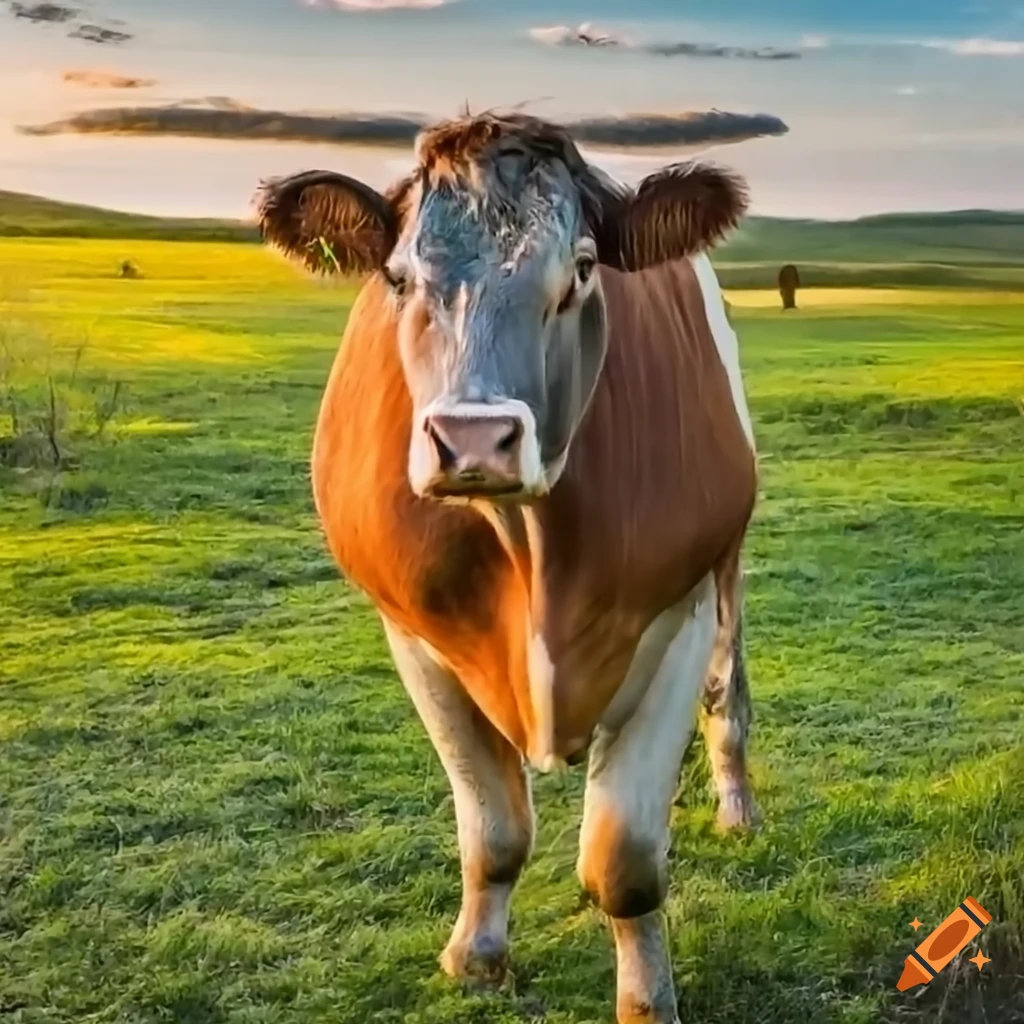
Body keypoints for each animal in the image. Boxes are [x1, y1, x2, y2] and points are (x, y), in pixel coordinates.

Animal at [253, 112, 759, 1024]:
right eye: (398, 277)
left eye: (583, 270)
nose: (473, 440)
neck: (530, 548)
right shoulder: (416, 638)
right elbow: (493, 829)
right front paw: (476, 956)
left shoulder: (676, 614)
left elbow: (623, 859)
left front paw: (646, 998)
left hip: (727, 568)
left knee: (726, 695)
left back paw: (737, 806)